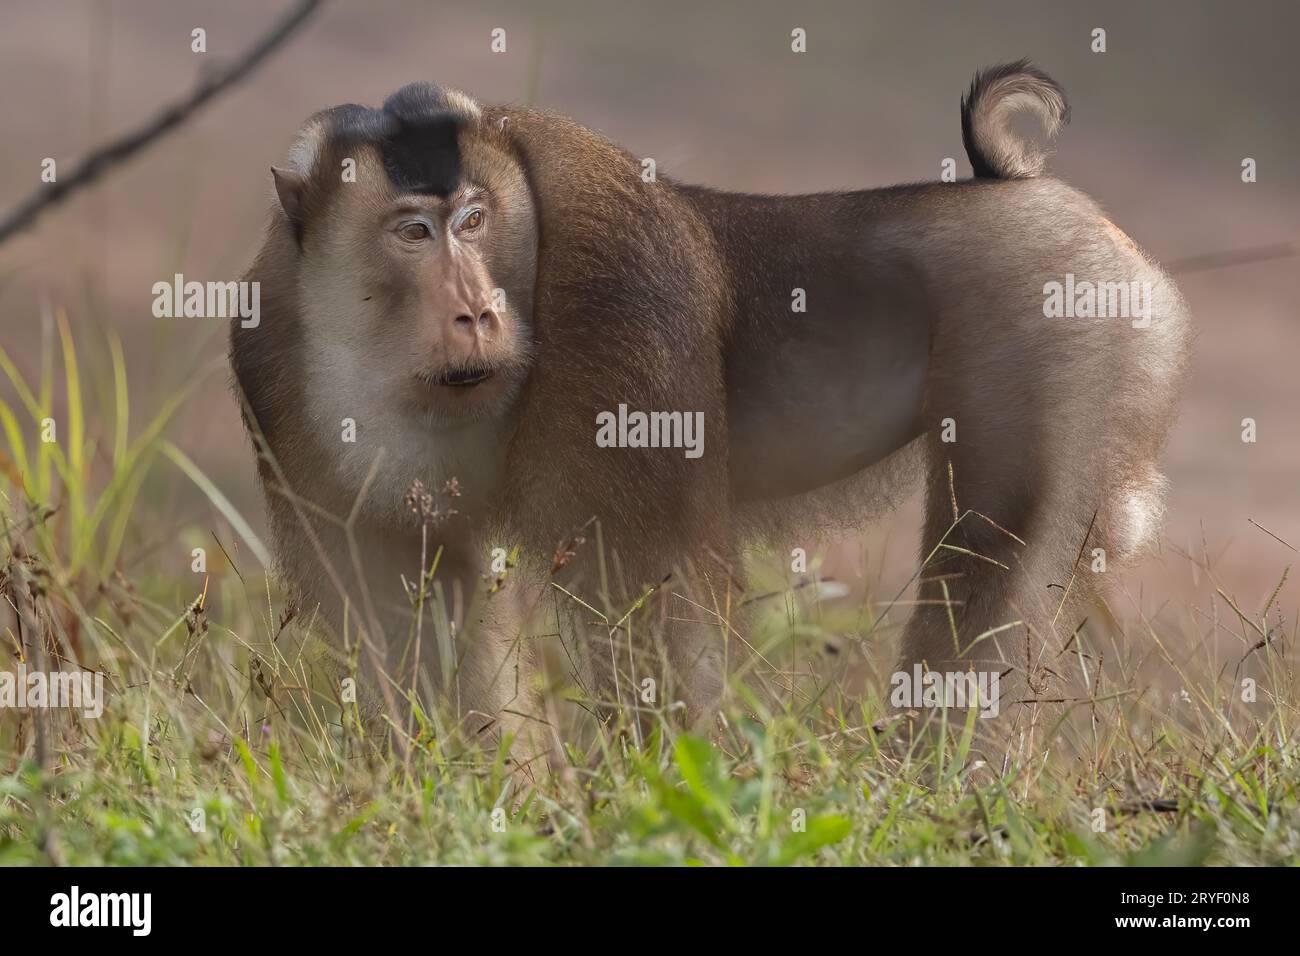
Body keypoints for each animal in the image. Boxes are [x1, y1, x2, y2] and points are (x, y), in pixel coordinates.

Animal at [230, 62, 1189, 773]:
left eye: (472, 219)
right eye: (412, 233)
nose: (476, 312)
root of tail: (1025, 188)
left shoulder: (612, 311)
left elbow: (646, 598)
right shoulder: (271, 360)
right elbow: (410, 612)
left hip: (1059, 323)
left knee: (990, 547)